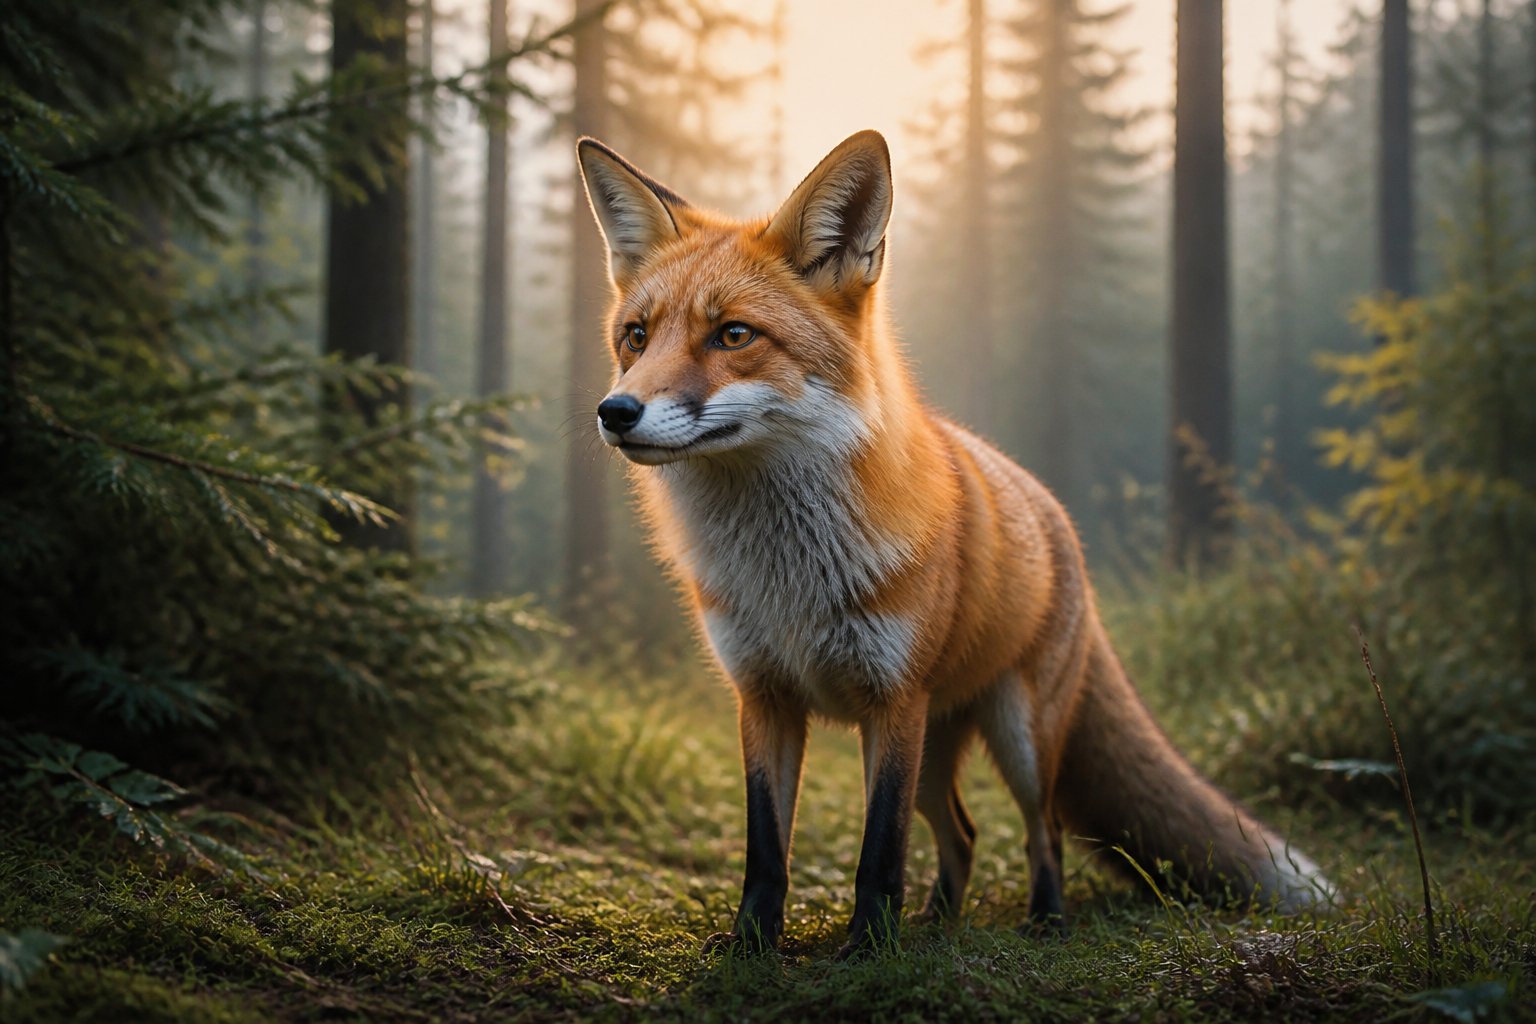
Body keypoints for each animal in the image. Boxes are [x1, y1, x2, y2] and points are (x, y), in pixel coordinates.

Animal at [576, 129, 1331, 957]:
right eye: (637, 336)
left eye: (733, 335)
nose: (616, 411)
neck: (788, 576)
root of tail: (1052, 510)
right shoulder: (765, 698)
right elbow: (767, 850)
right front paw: (752, 947)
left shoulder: (892, 700)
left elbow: (879, 854)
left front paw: (868, 953)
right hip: (937, 752)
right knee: (963, 835)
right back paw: (939, 921)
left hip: (1016, 739)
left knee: (1043, 830)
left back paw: (1044, 922)